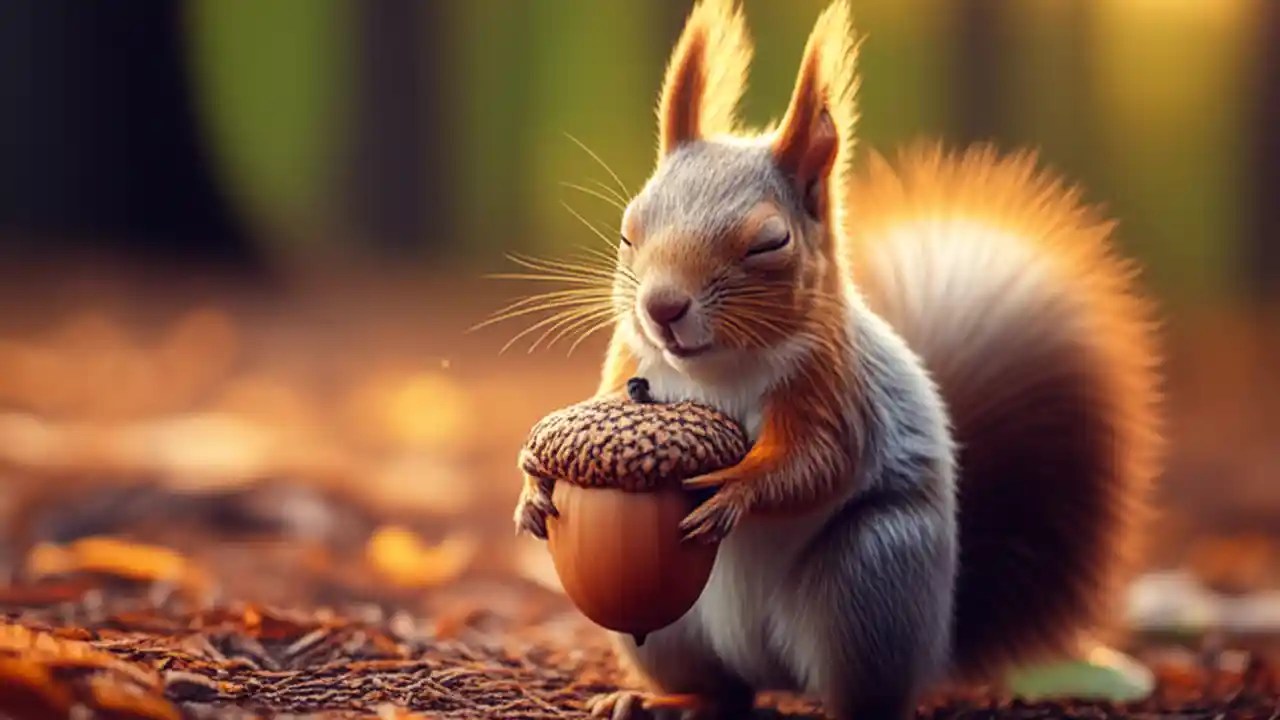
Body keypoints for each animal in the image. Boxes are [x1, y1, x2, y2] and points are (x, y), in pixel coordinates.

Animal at [513, 1, 1161, 718]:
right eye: (629, 231)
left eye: (769, 242)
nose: (662, 307)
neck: (716, 368)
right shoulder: (628, 359)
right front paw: (533, 485)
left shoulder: (836, 386)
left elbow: (819, 462)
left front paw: (734, 490)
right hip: (675, 629)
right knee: (723, 693)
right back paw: (659, 701)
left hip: (870, 578)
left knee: (862, 689)